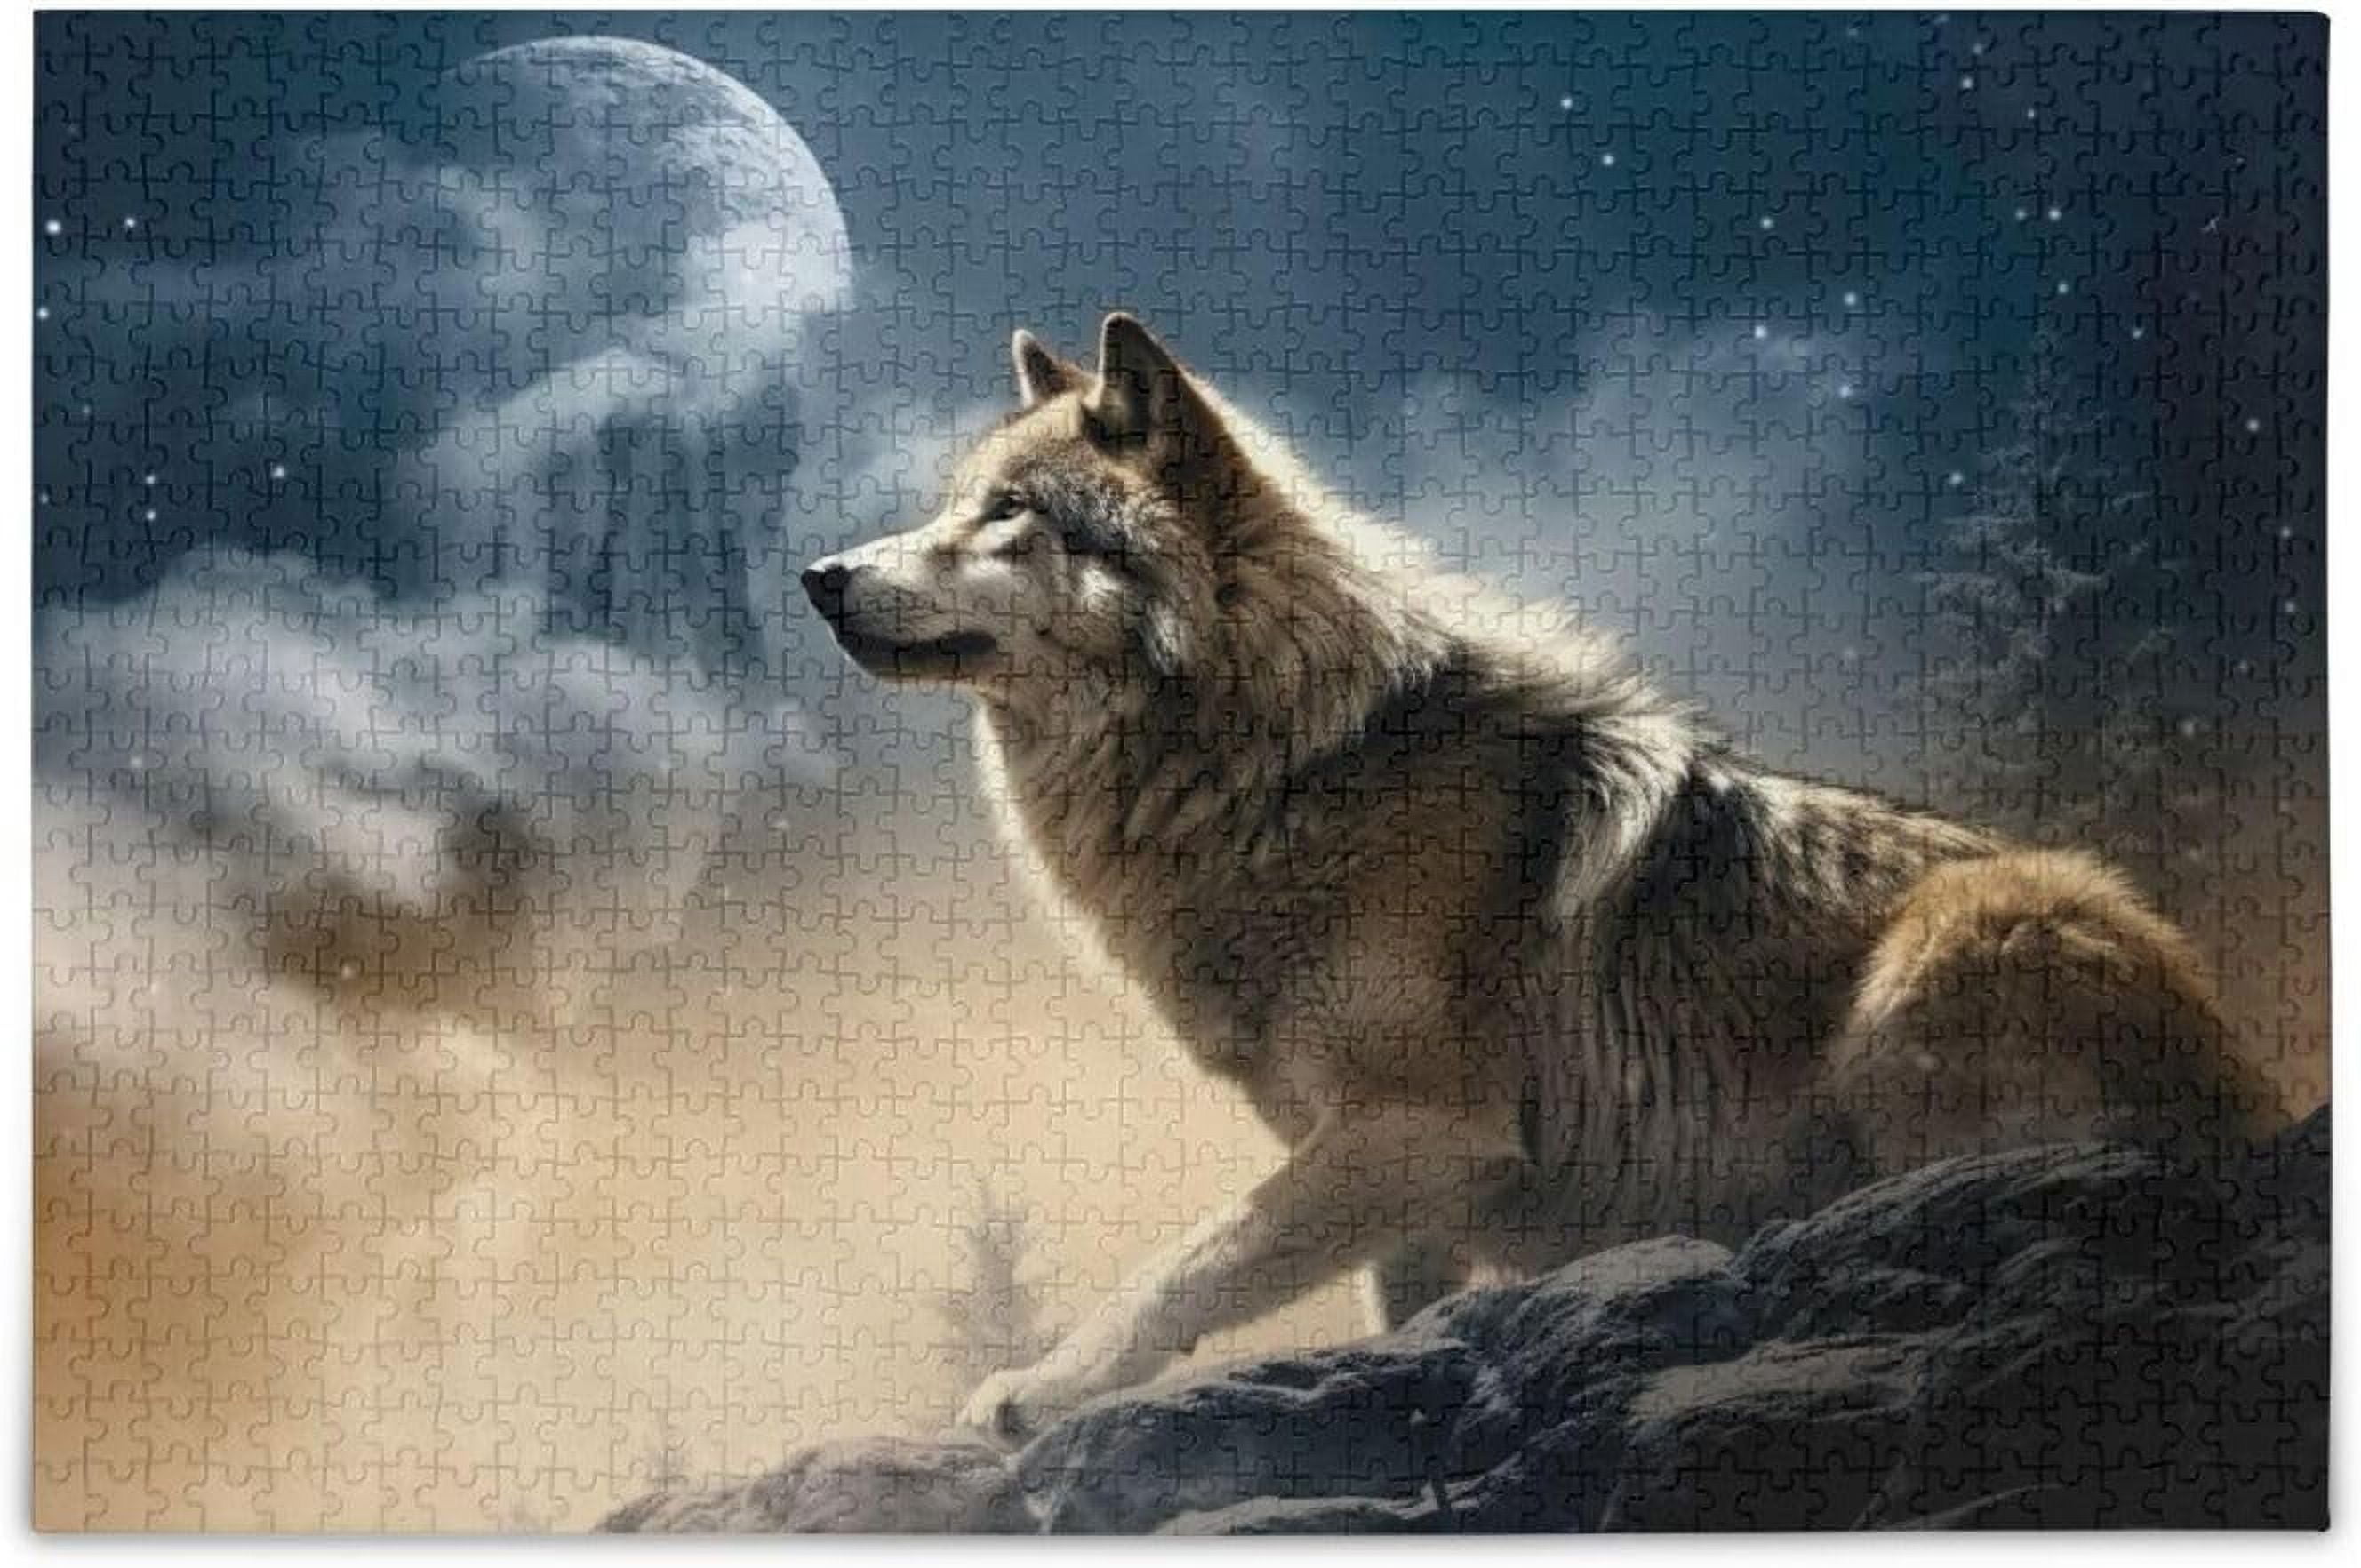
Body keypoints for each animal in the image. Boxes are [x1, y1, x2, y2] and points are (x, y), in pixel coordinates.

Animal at [803, 313, 2275, 1446]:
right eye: (954, 501)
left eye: (1006, 515)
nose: (818, 574)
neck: (1286, 763)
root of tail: (2254, 1082)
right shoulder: (1399, 1185)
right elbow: (1386, 1311)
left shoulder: (1421, 1128)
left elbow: (1189, 1265)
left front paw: (1038, 1392)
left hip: (1943, 960)